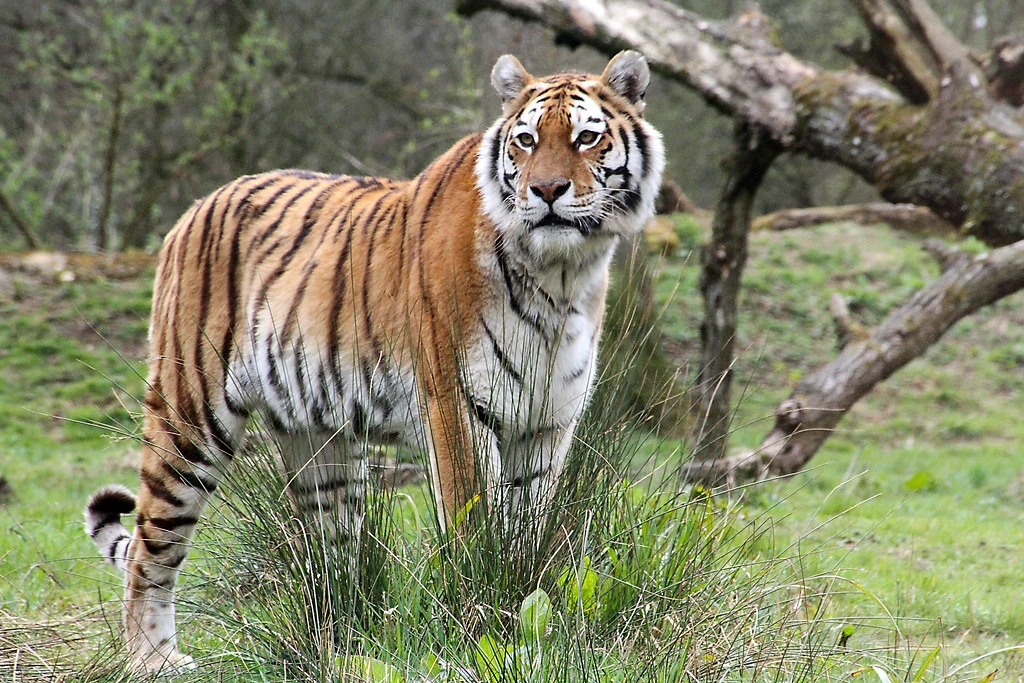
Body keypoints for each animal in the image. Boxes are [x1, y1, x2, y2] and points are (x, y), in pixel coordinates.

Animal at [84, 50, 664, 673]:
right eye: (526, 140)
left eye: (586, 138)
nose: (547, 189)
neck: (560, 275)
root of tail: (193, 209)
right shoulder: (456, 406)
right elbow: (475, 531)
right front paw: (481, 620)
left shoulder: (548, 421)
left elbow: (528, 532)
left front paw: (522, 602)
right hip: (189, 414)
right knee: (149, 550)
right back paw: (153, 660)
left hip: (319, 444)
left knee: (331, 558)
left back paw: (340, 644)